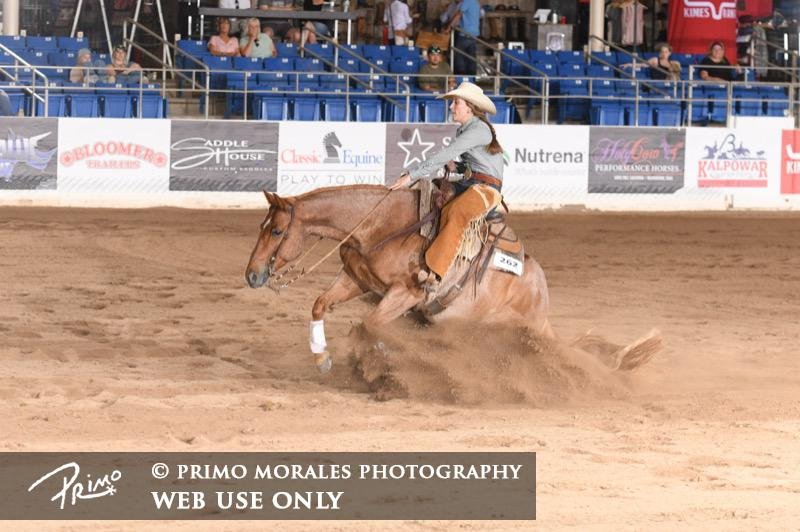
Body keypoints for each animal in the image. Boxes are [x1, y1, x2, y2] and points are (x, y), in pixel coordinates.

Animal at [245, 185, 553, 373]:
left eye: (276, 231)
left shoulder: (406, 294)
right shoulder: (356, 278)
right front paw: (322, 358)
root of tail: (539, 287)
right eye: (261, 226)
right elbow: (319, 304)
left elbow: (368, 326)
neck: (381, 226)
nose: (251, 274)